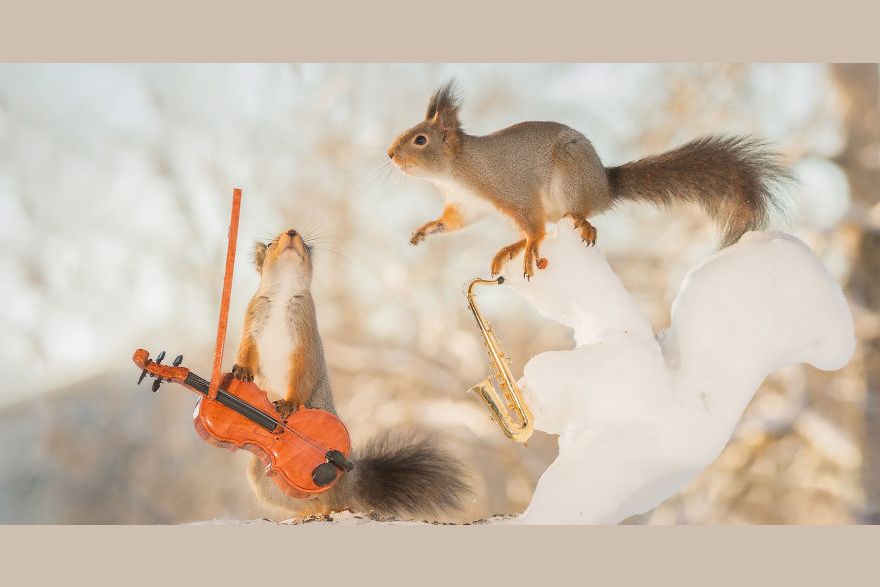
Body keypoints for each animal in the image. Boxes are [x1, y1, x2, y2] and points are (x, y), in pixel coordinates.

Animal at [232, 228, 470, 519]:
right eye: (269, 244)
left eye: (308, 247)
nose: (292, 232)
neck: (283, 294)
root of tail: (352, 481)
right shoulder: (252, 325)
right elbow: (246, 353)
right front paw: (241, 370)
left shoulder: (308, 341)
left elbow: (305, 374)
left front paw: (289, 404)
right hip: (261, 475)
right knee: (306, 499)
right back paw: (306, 512)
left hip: (332, 474)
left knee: (333, 499)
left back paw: (334, 507)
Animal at [387, 80, 791, 278]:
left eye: (420, 140)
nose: (390, 154)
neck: (457, 171)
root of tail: (605, 186)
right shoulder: (466, 204)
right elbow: (455, 221)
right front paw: (426, 229)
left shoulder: (512, 190)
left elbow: (532, 225)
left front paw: (531, 246)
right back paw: (511, 247)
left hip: (570, 178)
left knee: (567, 217)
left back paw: (571, 226)